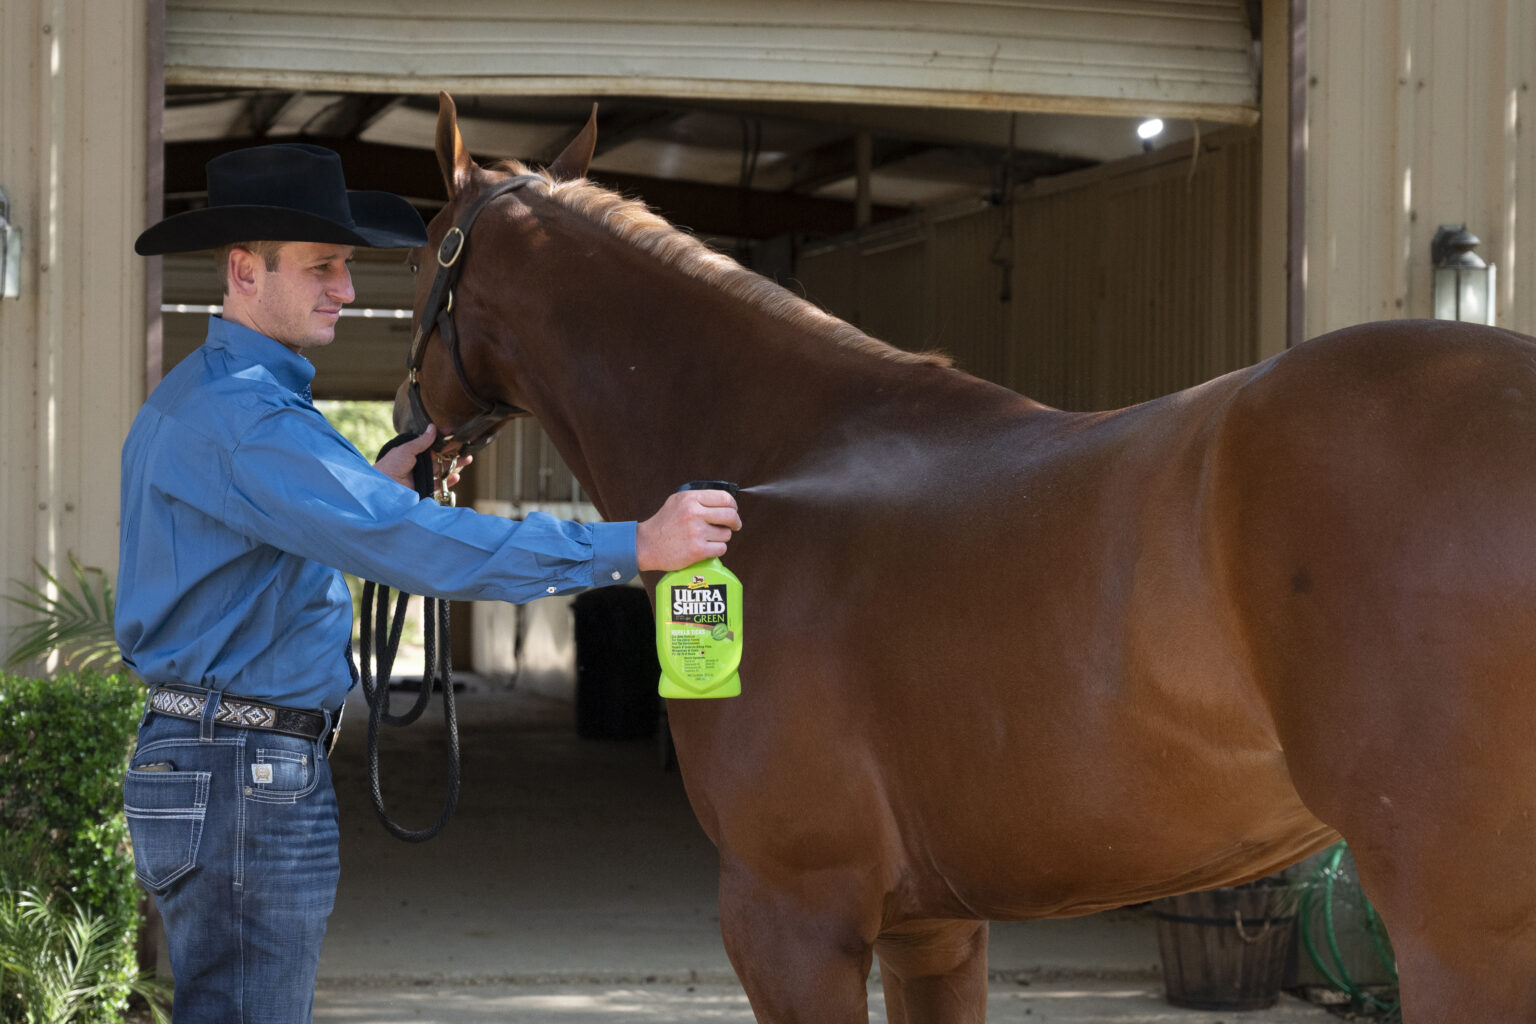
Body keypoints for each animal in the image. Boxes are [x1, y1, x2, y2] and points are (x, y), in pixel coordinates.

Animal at [396, 91, 1536, 1022]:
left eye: (423, 252)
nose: (408, 429)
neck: (778, 456)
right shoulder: (932, 928)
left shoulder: (791, 918)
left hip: (1464, 935)